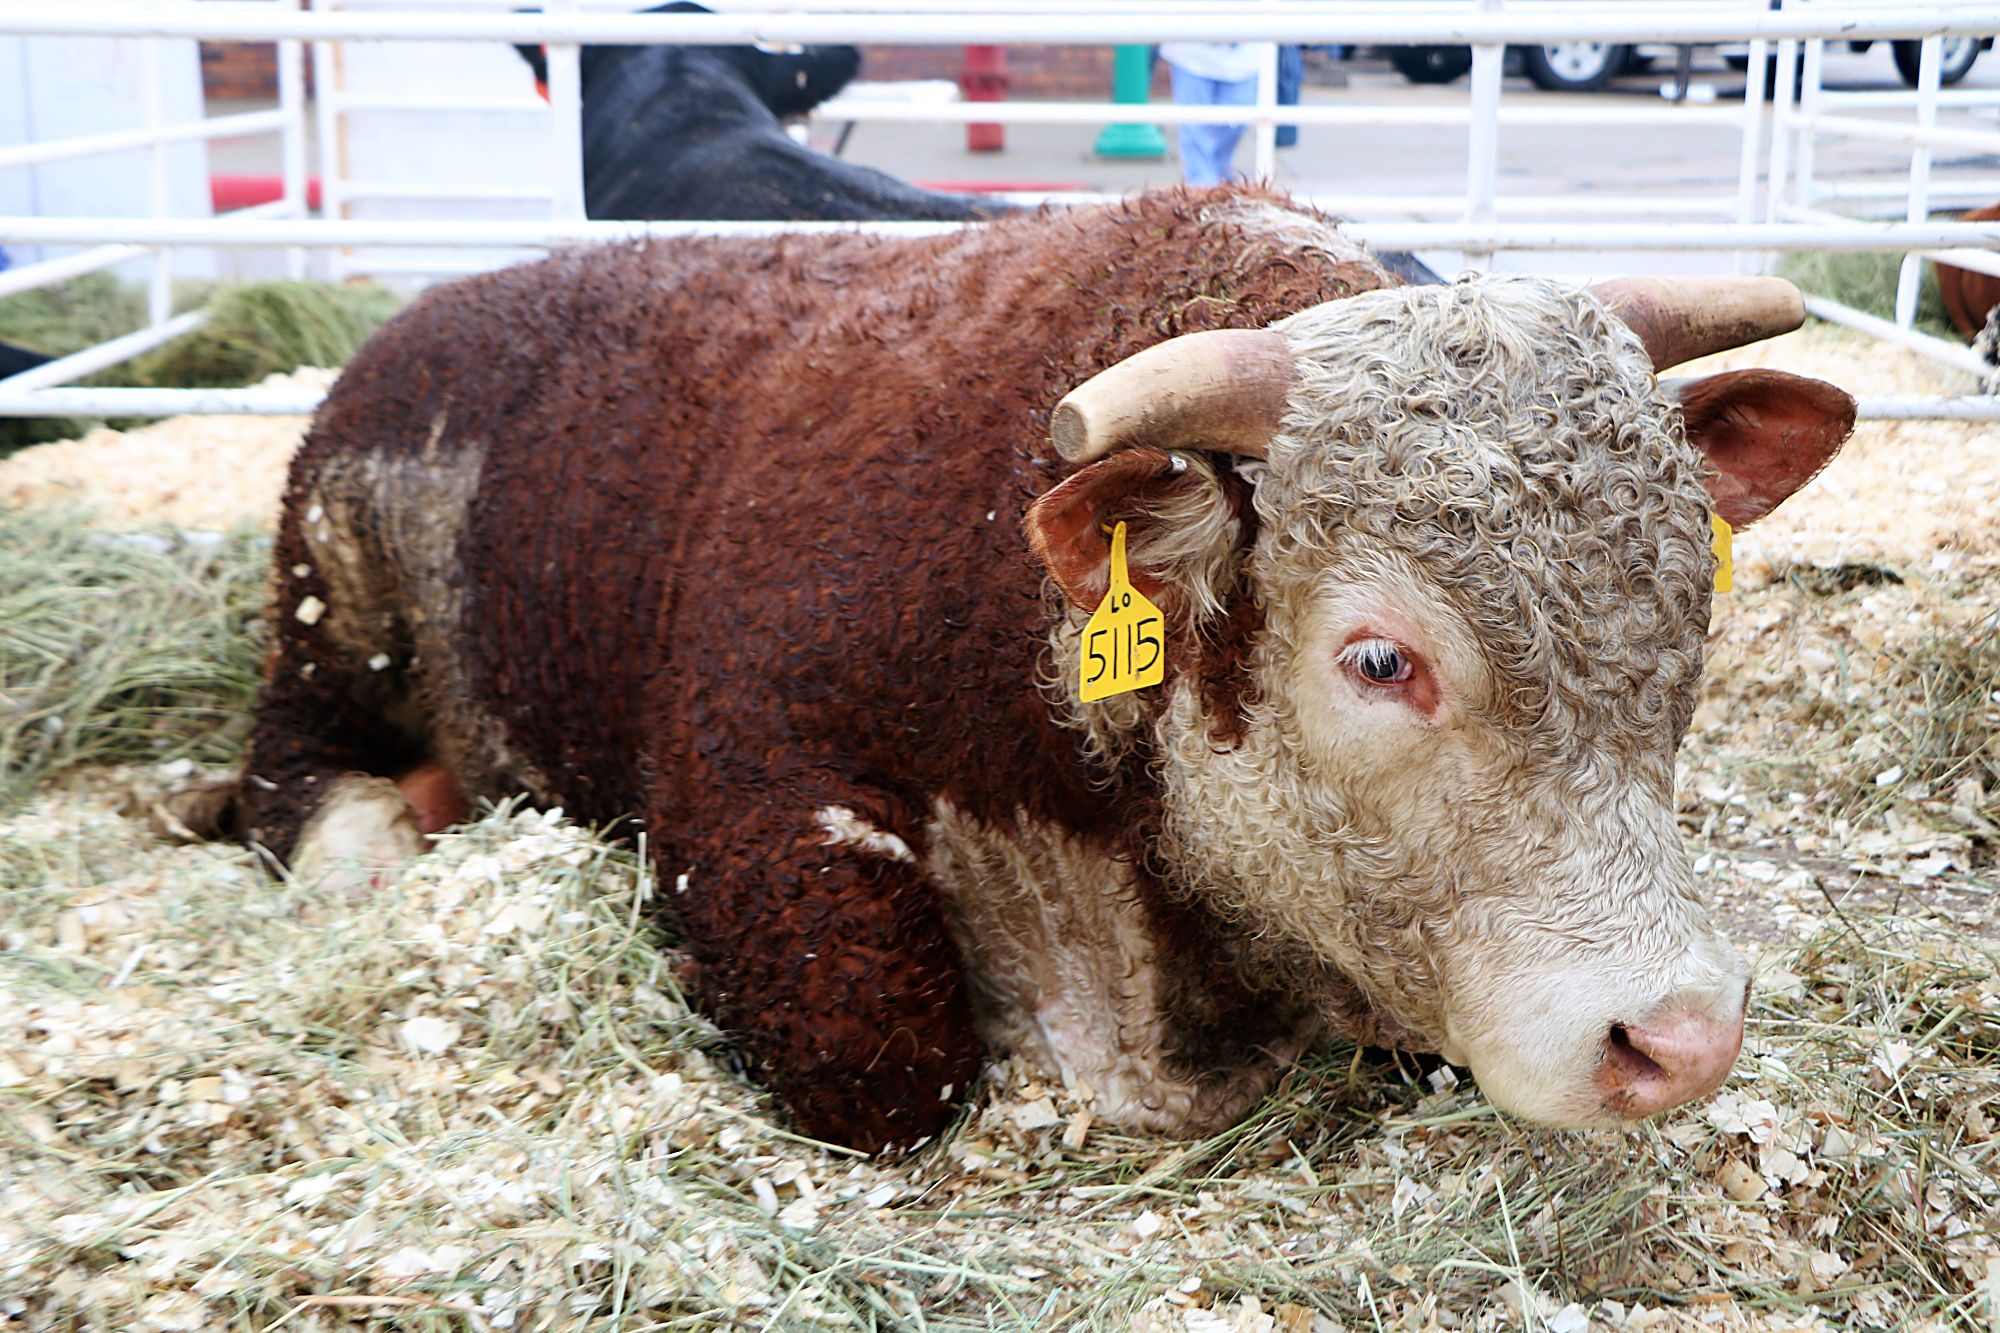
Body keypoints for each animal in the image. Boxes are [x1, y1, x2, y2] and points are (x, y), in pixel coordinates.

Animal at [172, 187, 1856, 1153]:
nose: (1681, 1036)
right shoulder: (750, 774)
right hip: (333, 595)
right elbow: (884, 1054)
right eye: (1382, 658)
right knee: (282, 760)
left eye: (1686, 604)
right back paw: (374, 826)